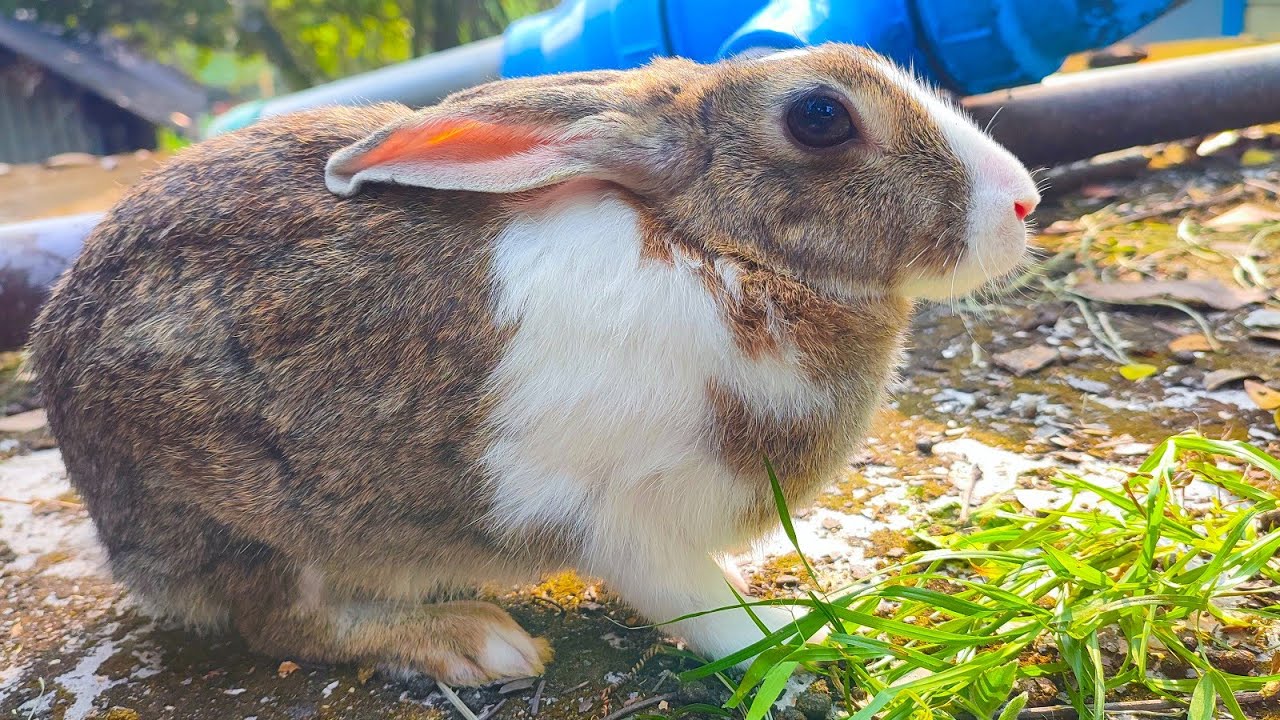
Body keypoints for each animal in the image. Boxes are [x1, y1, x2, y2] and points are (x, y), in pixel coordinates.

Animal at [28, 43, 1039, 686]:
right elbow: (701, 607)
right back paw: (474, 643)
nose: (1023, 202)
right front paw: (803, 639)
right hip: (257, 517)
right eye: (821, 117)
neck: (721, 251)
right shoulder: (629, 517)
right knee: (284, 621)